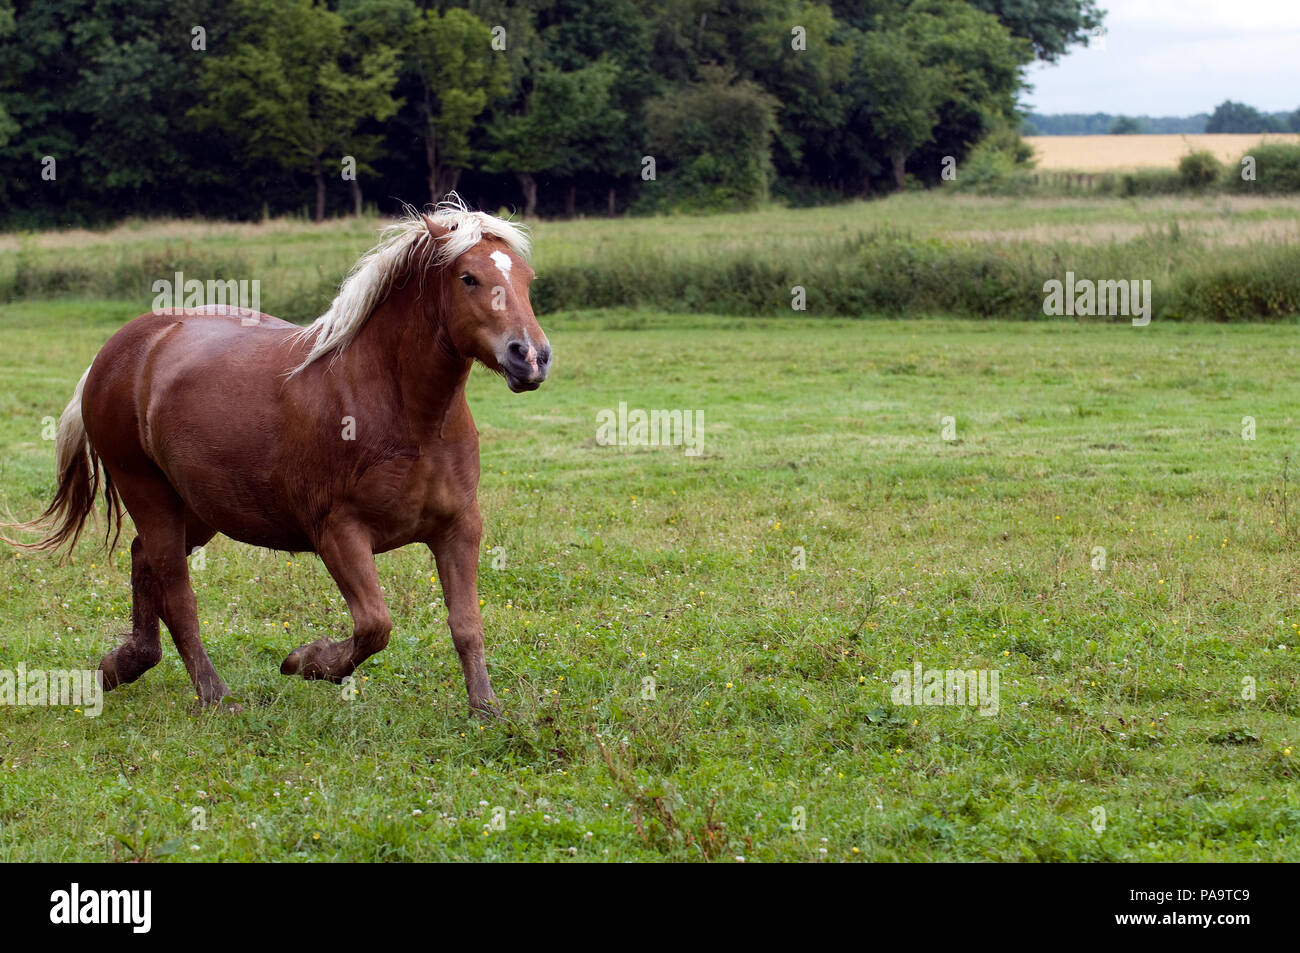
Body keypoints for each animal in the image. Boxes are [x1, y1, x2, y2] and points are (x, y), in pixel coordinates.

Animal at [3, 197, 551, 716]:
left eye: (527, 280)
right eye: (468, 278)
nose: (531, 357)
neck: (409, 418)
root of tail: (118, 350)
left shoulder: (459, 528)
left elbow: (467, 624)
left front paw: (487, 710)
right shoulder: (338, 534)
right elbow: (375, 625)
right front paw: (306, 662)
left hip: (199, 509)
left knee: (144, 561)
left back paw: (124, 664)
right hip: (148, 493)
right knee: (177, 594)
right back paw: (214, 696)